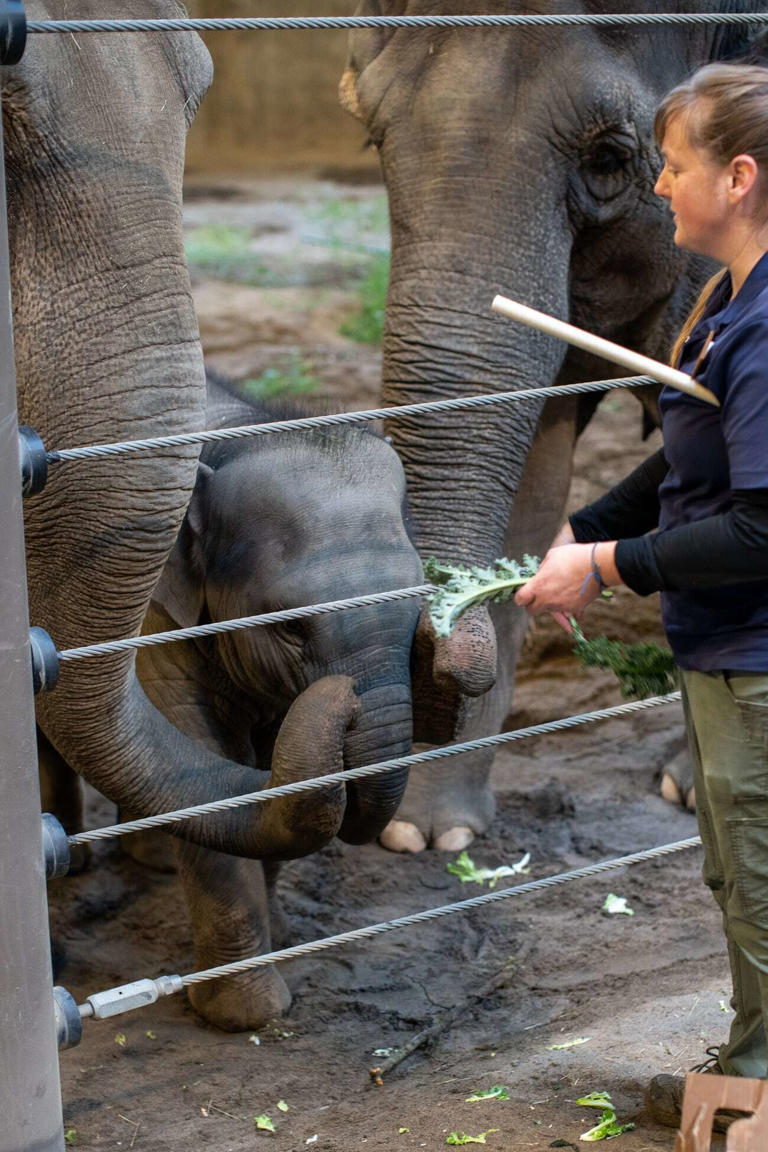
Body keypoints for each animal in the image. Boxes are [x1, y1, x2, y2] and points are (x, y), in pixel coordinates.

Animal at [128, 374, 423, 1028]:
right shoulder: (154, 616)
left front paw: (284, 940)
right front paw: (246, 1016)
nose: (346, 700)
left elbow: (272, 772)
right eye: (291, 627)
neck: (239, 435)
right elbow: (200, 752)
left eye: (423, 602)